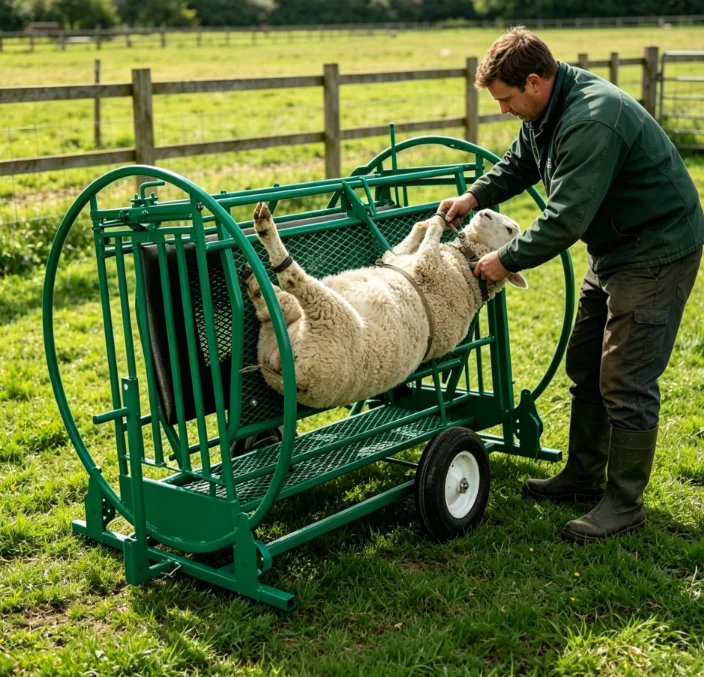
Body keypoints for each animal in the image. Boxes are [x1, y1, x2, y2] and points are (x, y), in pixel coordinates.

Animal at [243, 203, 527, 409]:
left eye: (511, 230)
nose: (483, 212)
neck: (466, 271)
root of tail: (291, 373)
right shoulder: (397, 258)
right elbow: (402, 246)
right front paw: (430, 219)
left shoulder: (429, 267)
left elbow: (430, 242)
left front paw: (437, 222)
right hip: (280, 324)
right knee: (270, 307)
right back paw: (253, 282)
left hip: (331, 317)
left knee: (292, 280)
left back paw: (265, 228)